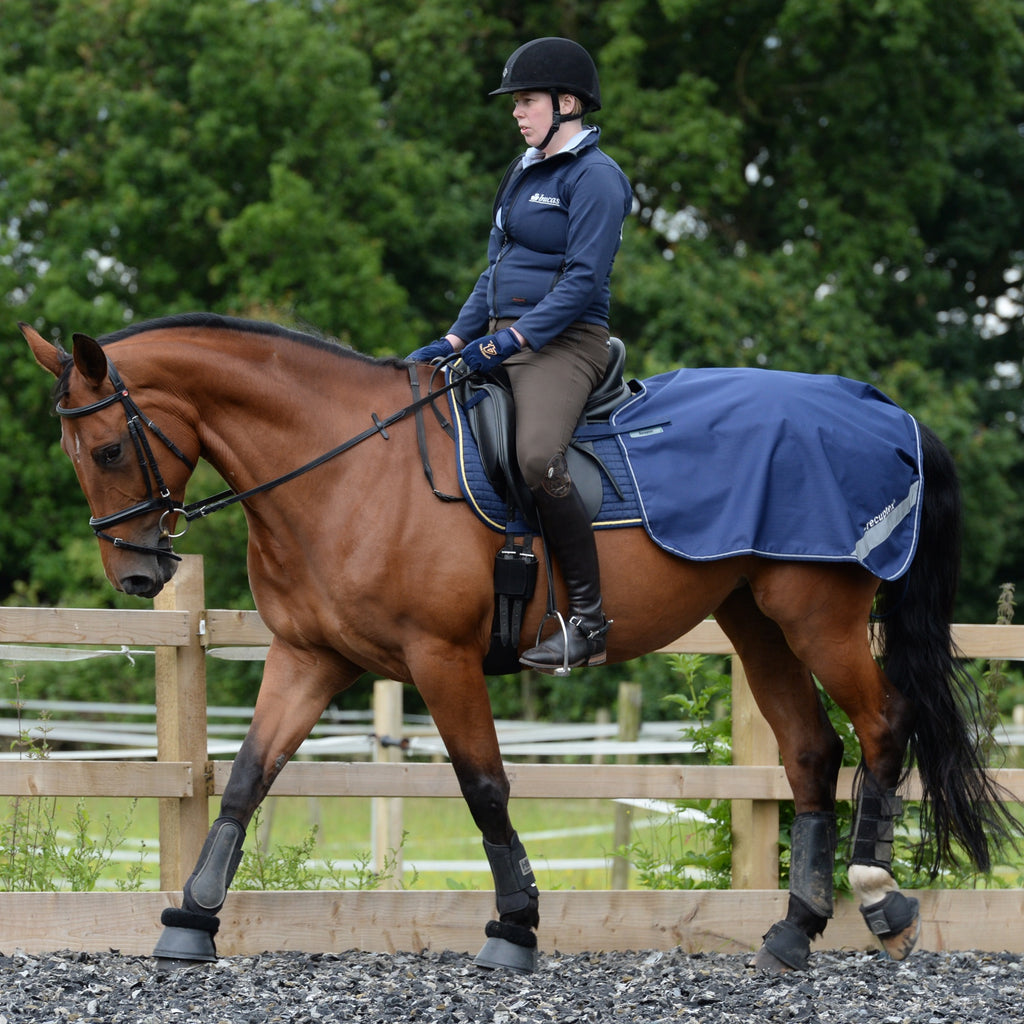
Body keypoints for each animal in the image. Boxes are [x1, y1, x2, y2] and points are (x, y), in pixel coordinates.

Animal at [22, 312, 1015, 974]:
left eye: (108, 450)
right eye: (78, 456)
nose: (137, 577)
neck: (347, 468)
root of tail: (884, 412)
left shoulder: (441, 658)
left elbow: (486, 788)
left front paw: (516, 927)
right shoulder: (310, 657)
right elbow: (246, 777)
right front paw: (190, 922)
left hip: (818, 614)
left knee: (882, 728)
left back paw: (880, 899)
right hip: (756, 618)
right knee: (812, 753)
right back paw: (793, 931)